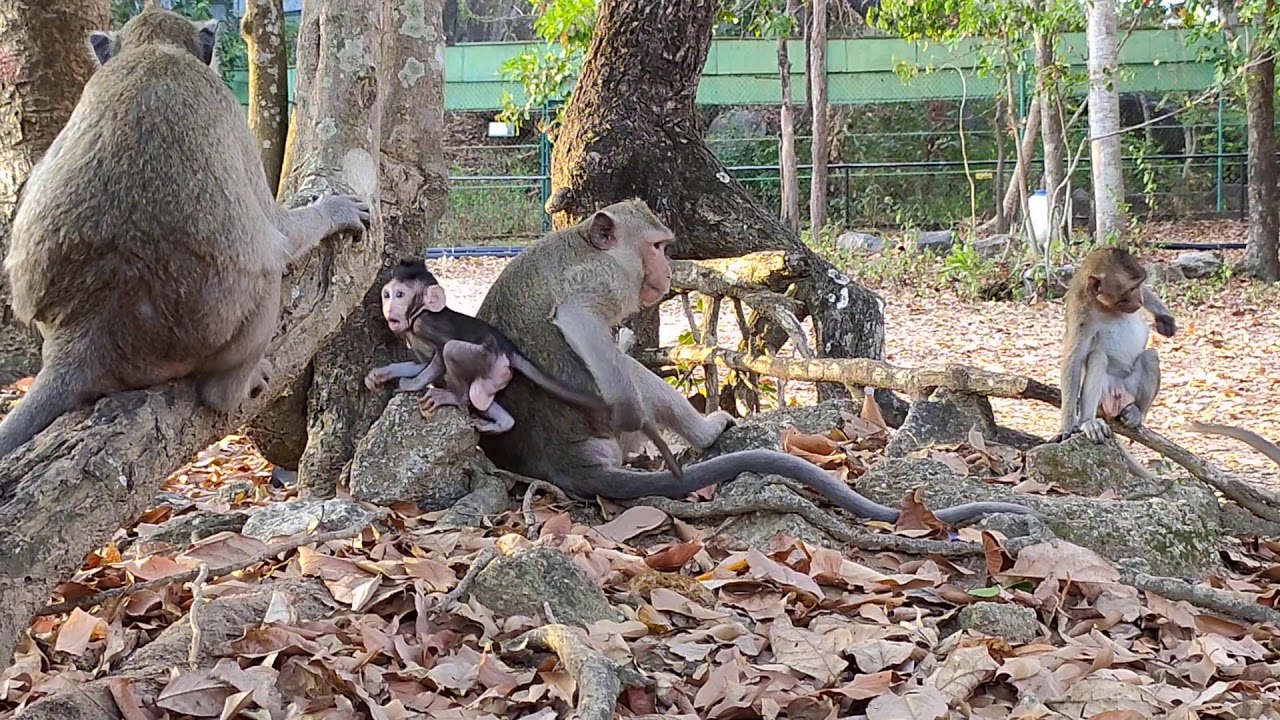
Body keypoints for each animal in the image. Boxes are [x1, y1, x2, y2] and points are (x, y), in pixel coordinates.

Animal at [0, 6, 371, 460]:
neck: (156, 49)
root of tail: (85, 336)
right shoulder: (228, 107)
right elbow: (278, 232)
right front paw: (333, 211)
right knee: (266, 268)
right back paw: (230, 389)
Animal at [364, 260, 685, 477]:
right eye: (387, 294)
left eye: (400, 295)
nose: (388, 307)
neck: (417, 316)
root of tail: (509, 351)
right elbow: (418, 363)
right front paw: (383, 374)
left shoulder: (425, 324)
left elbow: (439, 355)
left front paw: (415, 384)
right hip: (497, 375)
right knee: (482, 398)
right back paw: (501, 421)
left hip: (489, 360)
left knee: (456, 354)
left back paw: (454, 397)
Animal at [472, 198, 1035, 525]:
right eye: (655, 246)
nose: (665, 270)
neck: (591, 246)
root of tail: (563, 461)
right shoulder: (600, 283)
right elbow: (578, 322)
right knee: (623, 370)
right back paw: (705, 429)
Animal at [1055, 247, 1177, 478]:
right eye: (1130, 289)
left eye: (1138, 284)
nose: (1139, 300)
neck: (1104, 305)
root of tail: (1119, 393)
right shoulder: (1080, 312)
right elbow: (1074, 360)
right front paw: (1066, 426)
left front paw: (1165, 317)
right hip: (1105, 396)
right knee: (1097, 358)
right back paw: (1088, 422)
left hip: (1130, 389)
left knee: (1150, 357)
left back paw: (1137, 413)